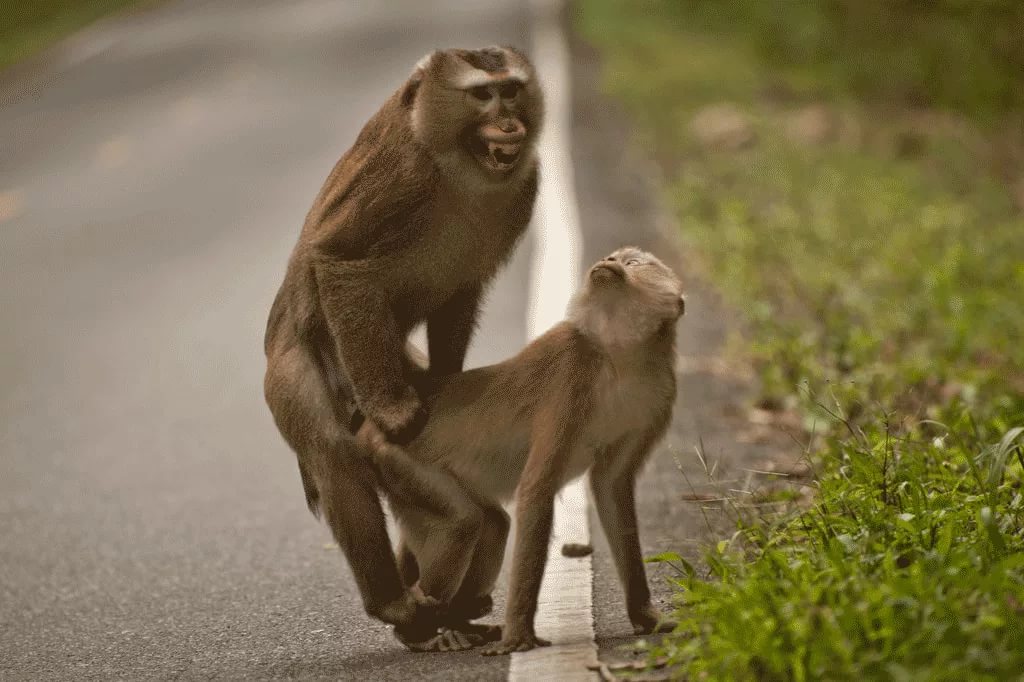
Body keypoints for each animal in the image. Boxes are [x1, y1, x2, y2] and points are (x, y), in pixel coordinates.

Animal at [264, 47, 544, 643]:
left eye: (511, 89)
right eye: (482, 95)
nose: (510, 123)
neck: (457, 163)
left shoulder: (524, 184)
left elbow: (462, 290)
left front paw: (446, 378)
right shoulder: (401, 179)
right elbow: (342, 260)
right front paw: (395, 416)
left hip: (387, 358)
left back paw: (444, 612)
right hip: (309, 365)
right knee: (334, 453)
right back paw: (392, 603)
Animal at [360, 245, 688, 655]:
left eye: (633, 263)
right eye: (615, 257)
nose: (608, 263)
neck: (618, 356)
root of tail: (370, 431)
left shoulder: (658, 393)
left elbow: (611, 487)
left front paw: (645, 615)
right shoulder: (570, 374)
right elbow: (537, 488)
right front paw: (519, 634)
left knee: (490, 524)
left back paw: (456, 617)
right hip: (398, 463)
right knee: (461, 524)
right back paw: (419, 631)